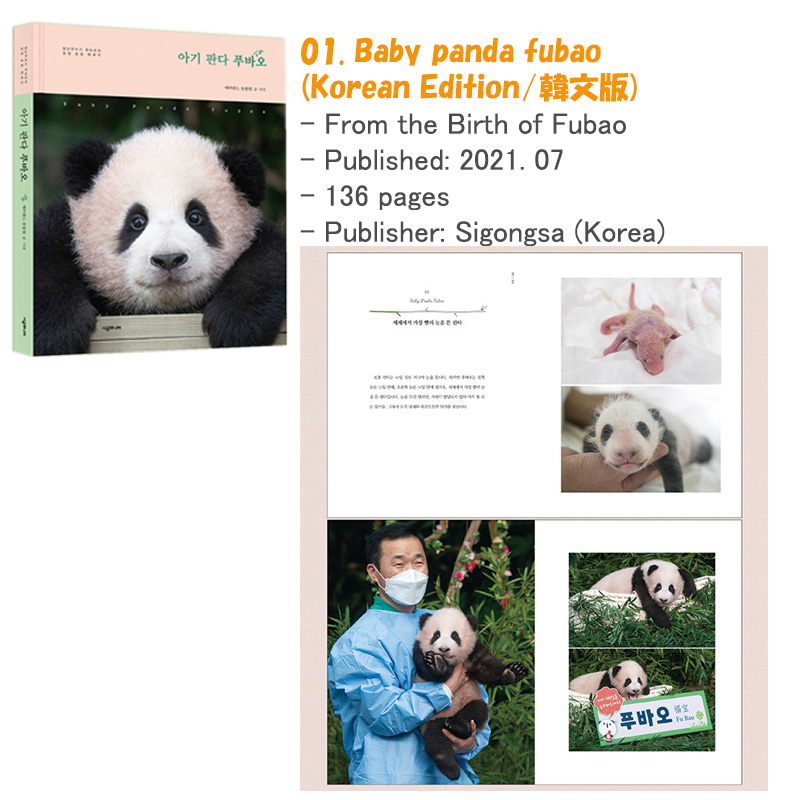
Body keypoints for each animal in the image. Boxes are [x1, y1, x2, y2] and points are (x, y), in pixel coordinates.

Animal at [33, 125, 286, 355]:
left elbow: (270, 259)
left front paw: (236, 324)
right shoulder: (66, 227)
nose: (169, 259)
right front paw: (60, 332)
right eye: (137, 221)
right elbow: (42, 256)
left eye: (195, 217)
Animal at [412, 607, 526, 781]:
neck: (452, 662)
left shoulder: (474, 652)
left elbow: (487, 668)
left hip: (470, 704)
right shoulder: (419, 650)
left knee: (477, 710)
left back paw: (458, 726)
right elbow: (428, 672)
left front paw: (513, 672)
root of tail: (446, 720)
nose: (443, 650)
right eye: (436, 635)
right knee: (436, 742)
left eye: (455, 636)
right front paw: (437, 664)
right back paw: (451, 769)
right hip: (432, 720)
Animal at [582, 395, 712, 492]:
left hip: (694, 442)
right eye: (606, 431)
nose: (626, 452)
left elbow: (671, 466)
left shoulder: (663, 436)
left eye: (643, 428)